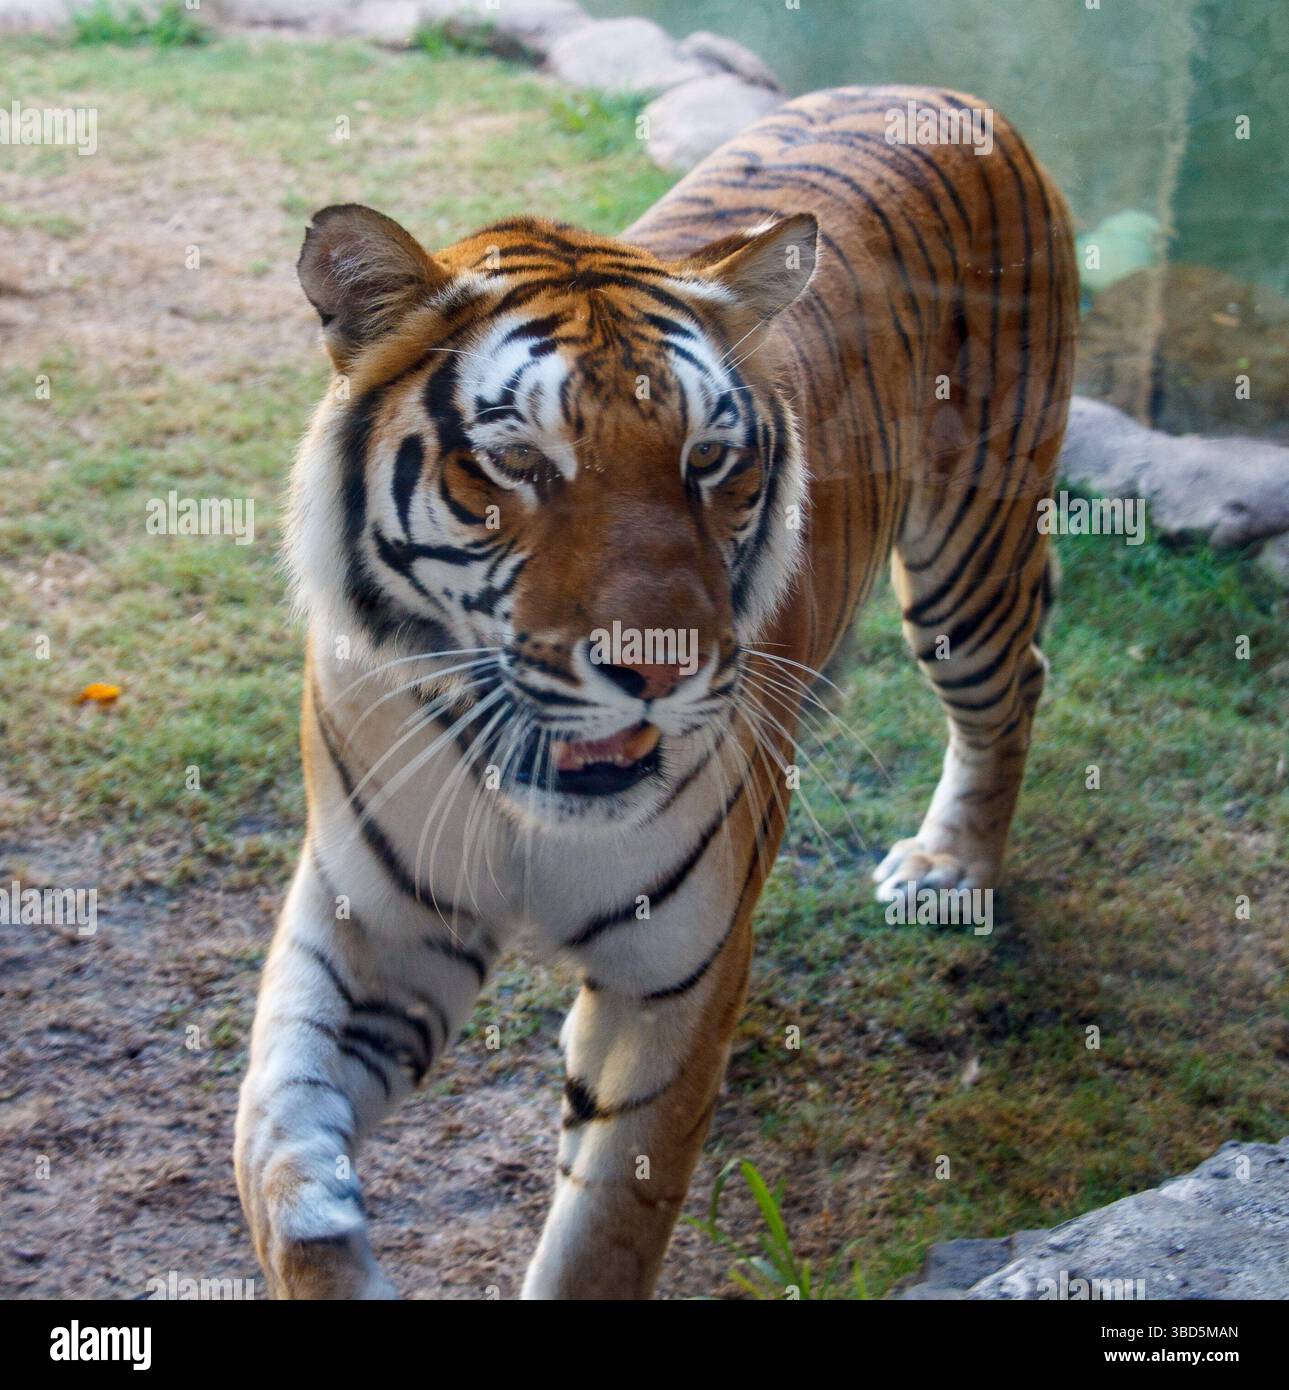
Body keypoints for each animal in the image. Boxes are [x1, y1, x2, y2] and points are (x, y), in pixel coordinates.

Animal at [234, 84, 1076, 1300]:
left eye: (709, 460)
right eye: (516, 463)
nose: (662, 668)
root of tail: (953, 96)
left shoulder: (666, 988)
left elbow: (603, 1236)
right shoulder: (369, 928)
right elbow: (275, 1150)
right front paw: (328, 1237)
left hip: (969, 557)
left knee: (1011, 684)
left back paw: (949, 863)